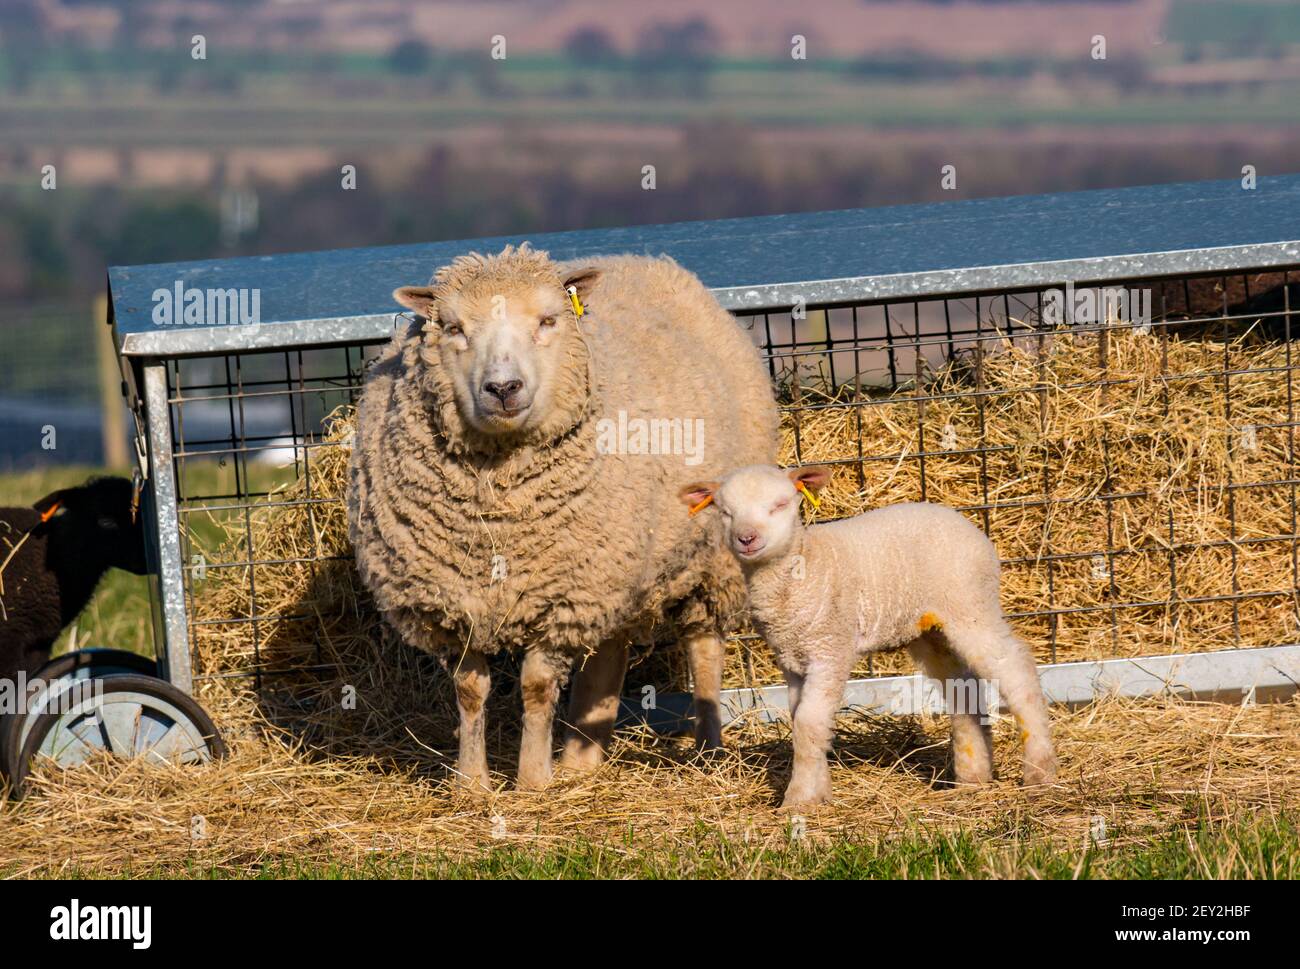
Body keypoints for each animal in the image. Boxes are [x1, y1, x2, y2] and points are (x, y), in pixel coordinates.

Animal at [347, 244, 779, 791]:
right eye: (453, 328)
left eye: (548, 321)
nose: (503, 387)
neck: (499, 509)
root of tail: (642, 256)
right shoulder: (451, 601)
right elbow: (469, 690)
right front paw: (472, 784)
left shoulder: (562, 597)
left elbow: (535, 687)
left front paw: (532, 781)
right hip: (617, 564)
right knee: (611, 653)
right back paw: (580, 760)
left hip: (708, 556)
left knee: (703, 642)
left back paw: (707, 746)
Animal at [680, 464, 1057, 807]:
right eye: (725, 512)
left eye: (780, 504)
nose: (746, 538)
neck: (802, 567)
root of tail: (964, 523)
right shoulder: (792, 658)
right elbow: (803, 721)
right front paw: (819, 792)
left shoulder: (830, 648)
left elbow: (808, 724)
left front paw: (798, 799)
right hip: (932, 630)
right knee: (963, 689)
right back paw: (972, 776)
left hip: (971, 604)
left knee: (1016, 670)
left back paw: (1039, 772)